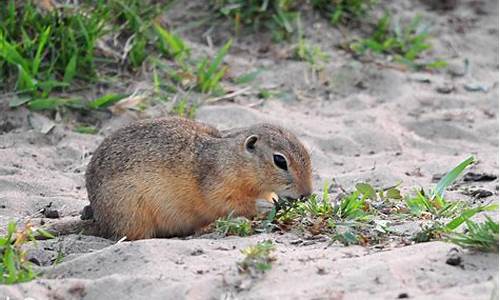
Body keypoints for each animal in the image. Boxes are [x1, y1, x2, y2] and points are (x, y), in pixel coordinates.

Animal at [86, 117, 312, 239]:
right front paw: (265, 207)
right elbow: (233, 204)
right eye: (280, 160)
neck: (232, 160)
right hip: (132, 212)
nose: (307, 194)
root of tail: (100, 220)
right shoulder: (220, 187)